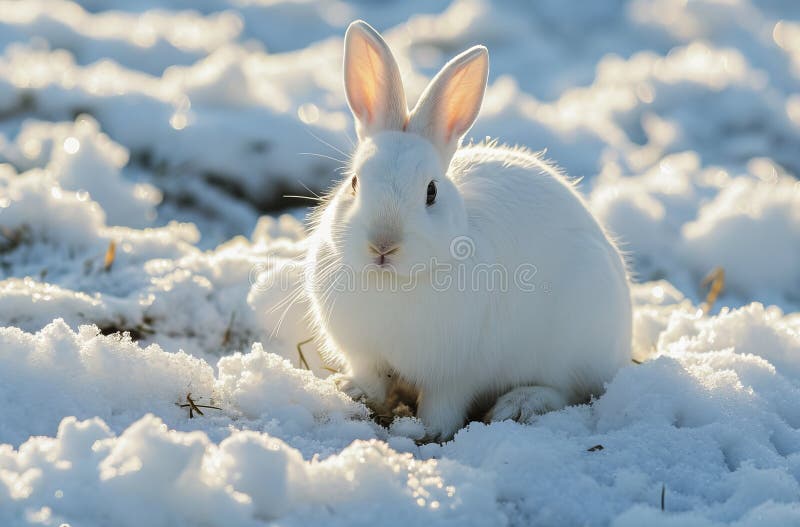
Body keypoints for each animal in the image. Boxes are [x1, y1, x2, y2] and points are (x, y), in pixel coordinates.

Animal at [304, 20, 632, 441]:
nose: (383, 245)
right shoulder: (367, 356)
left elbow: (444, 404)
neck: (394, 281)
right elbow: (373, 381)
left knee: (568, 390)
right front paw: (352, 392)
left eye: (431, 192)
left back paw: (520, 404)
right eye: (354, 183)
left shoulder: (456, 376)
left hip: (575, 341)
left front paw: (428, 432)